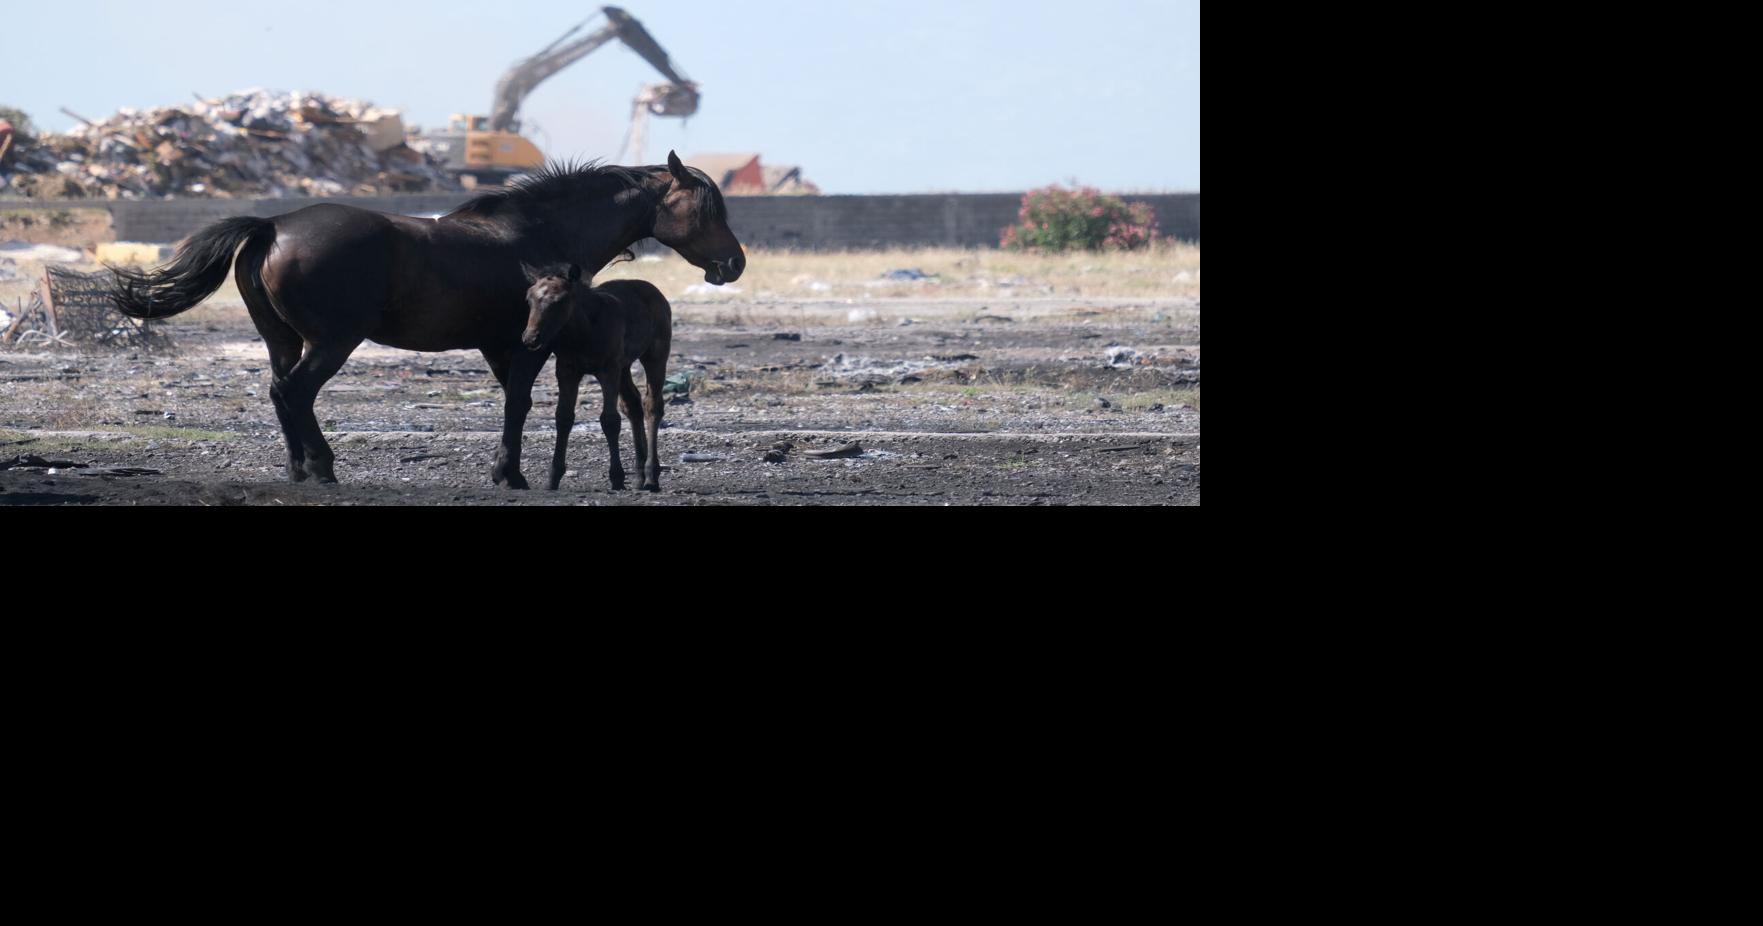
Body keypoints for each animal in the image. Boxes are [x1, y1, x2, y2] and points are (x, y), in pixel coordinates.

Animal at [520, 264, 672, 492]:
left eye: (560, 301)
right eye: (529, 299)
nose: (530, 338)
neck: (583, 332)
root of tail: (657, 293)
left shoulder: (608, 369)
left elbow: (609, 420)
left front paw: (616, 478)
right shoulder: (566, 370)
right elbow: (563, 417)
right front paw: (552, 478)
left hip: (655, 354)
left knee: (652, 405)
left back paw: (651, 475)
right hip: (624, 366)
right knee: (633, 404)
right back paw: (639, 476)